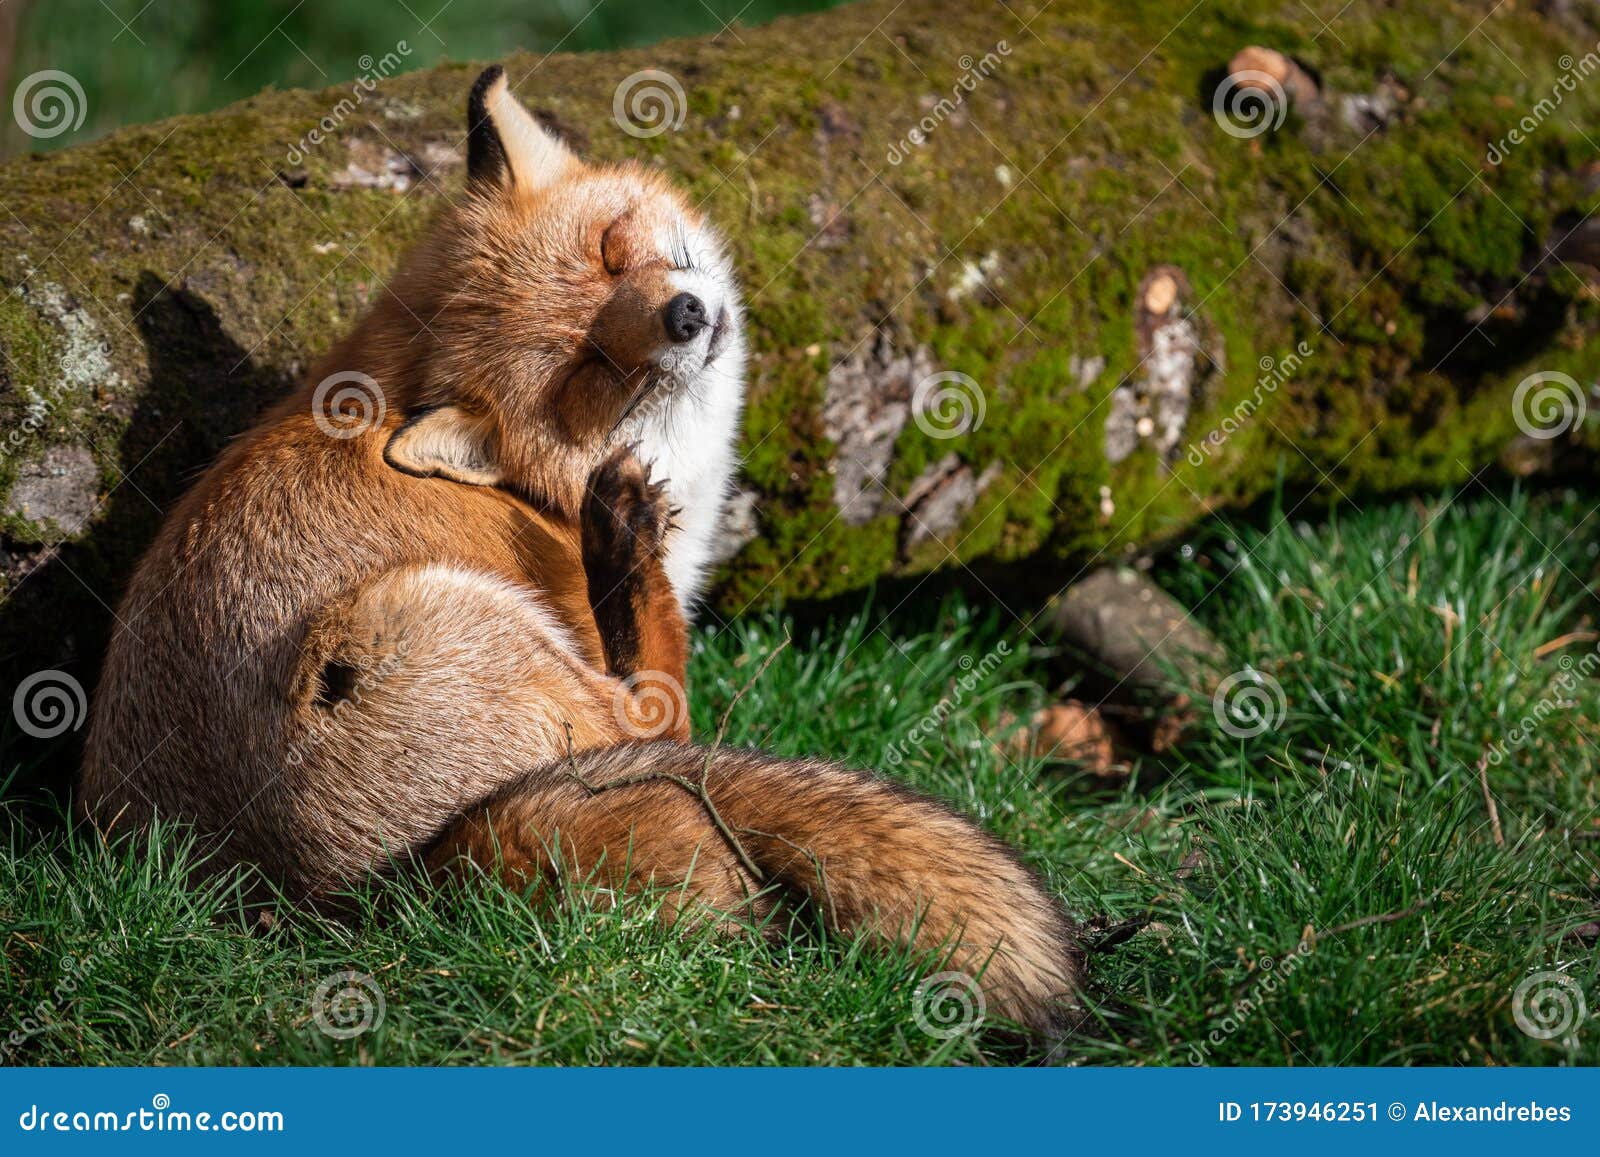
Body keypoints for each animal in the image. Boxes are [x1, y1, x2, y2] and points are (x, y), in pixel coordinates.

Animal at [77, 65, 1083, 1042]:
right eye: (590, 366)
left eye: (610, 249)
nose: (687, 315)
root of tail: (346, 901)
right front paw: (631, 544)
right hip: (438, 622)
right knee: (664, 716)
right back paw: (622, 549)